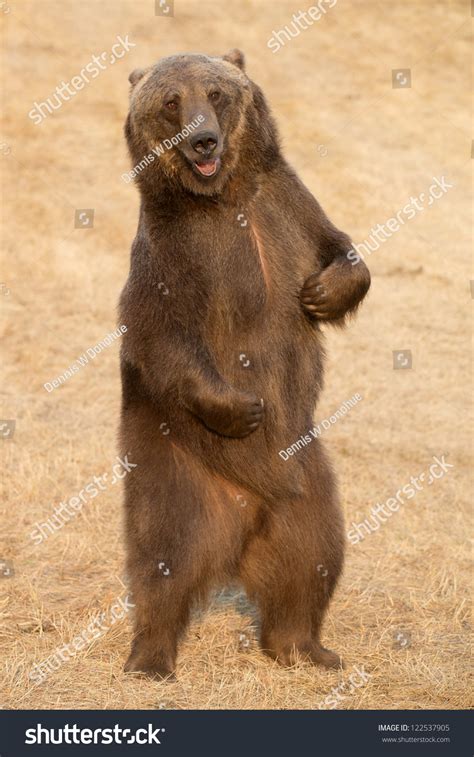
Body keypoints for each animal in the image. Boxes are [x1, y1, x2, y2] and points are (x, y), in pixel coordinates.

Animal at [118, 49, 370, 679]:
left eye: (216, 92)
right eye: (170, 102)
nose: (203, 139)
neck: (223, 198)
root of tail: (243, 517)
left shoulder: (288, 208)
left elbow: (342, 249)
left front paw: (322, 293)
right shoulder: (173, 257)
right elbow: (162, 336)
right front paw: (243, 409)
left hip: (306, 487)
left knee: (312, 560)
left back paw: (306, 647)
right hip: (176, 466)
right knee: (163, 560)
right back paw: (150, 657)